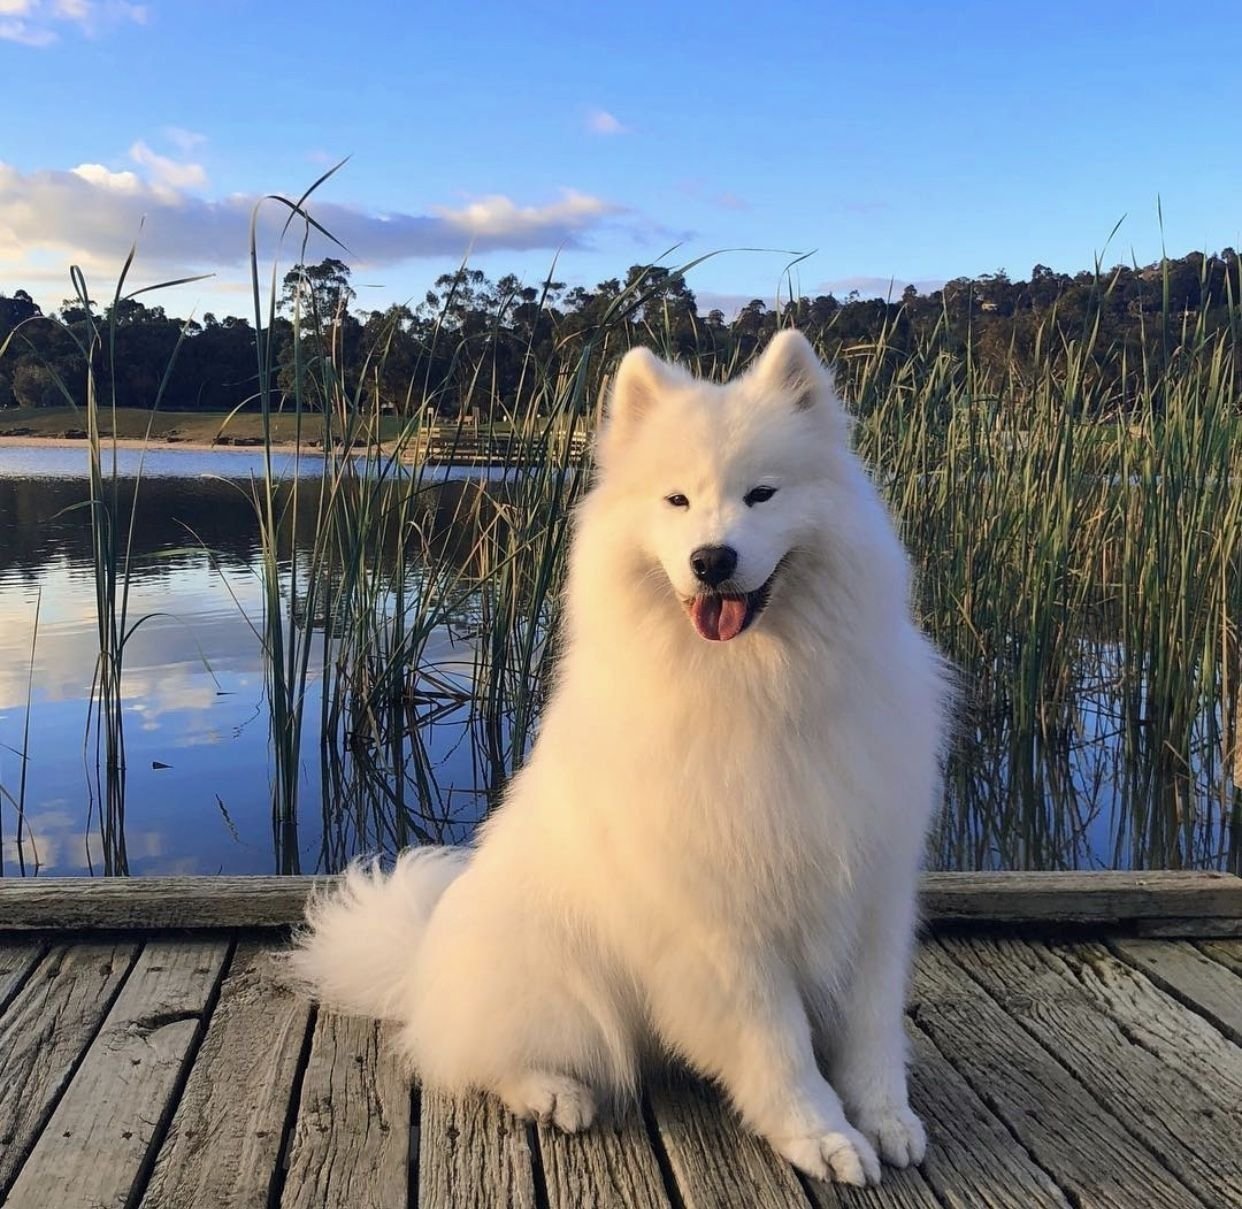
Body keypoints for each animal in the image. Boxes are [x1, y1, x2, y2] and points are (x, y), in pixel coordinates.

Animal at [293, 328, 948, 1177]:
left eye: (761, 495)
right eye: (676, 500)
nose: (711, 558)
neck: (762, 688)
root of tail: (422, 966)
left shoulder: (873, 892)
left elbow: (872, 1030)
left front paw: (885, 1116)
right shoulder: (722, 924)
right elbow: (779, 1044)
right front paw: (822, 1135)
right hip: (559, 980)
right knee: (474, 1057)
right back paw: (554, 1092)